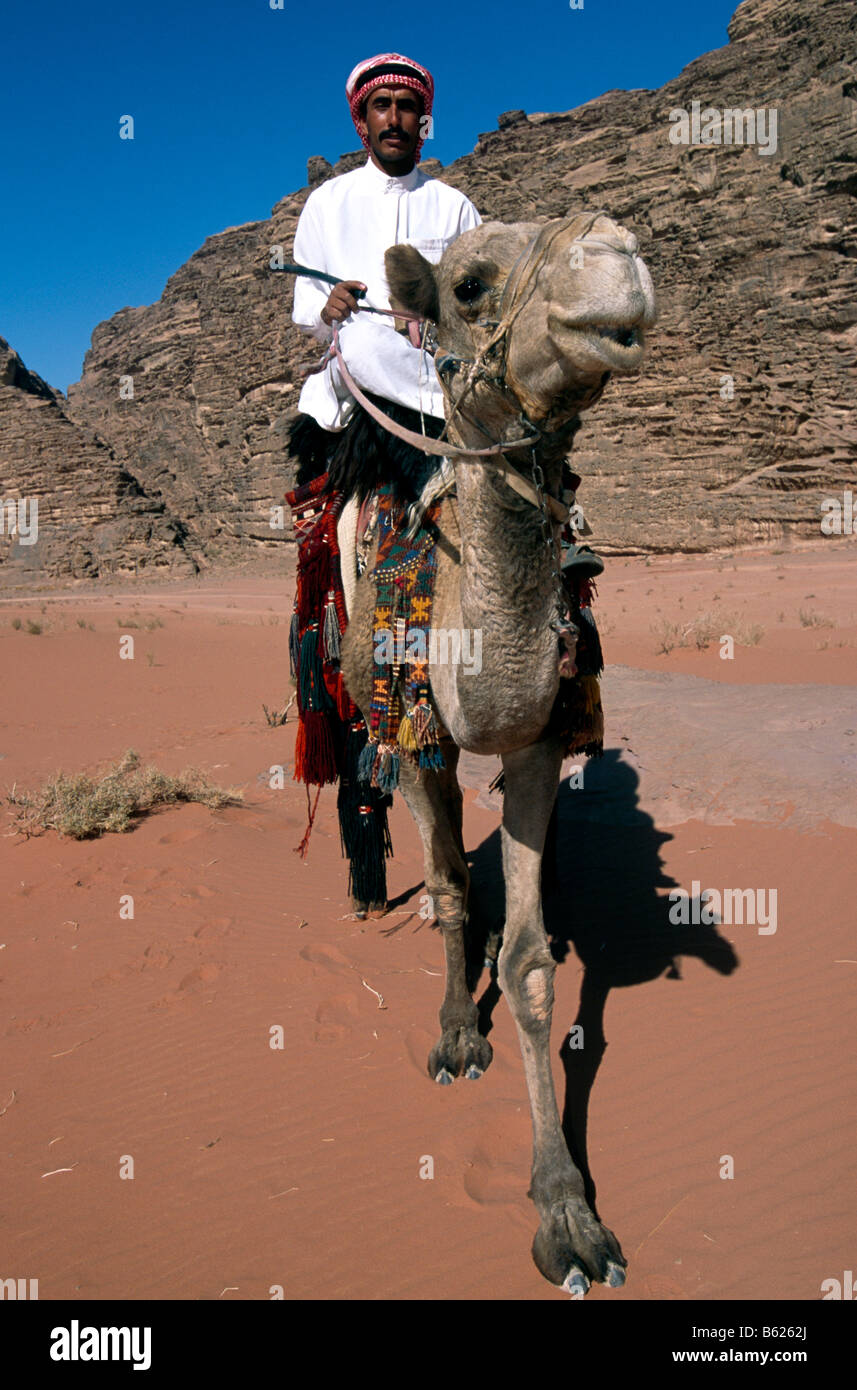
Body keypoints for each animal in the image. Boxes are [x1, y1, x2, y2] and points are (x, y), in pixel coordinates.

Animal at [339, 210, 656, 1295]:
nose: (617, 257)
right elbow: (442, 887)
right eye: (469, 284)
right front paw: (453, 1032)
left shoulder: (531, 747)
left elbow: (526, 962)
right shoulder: (418, 739)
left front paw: (566, 1209)